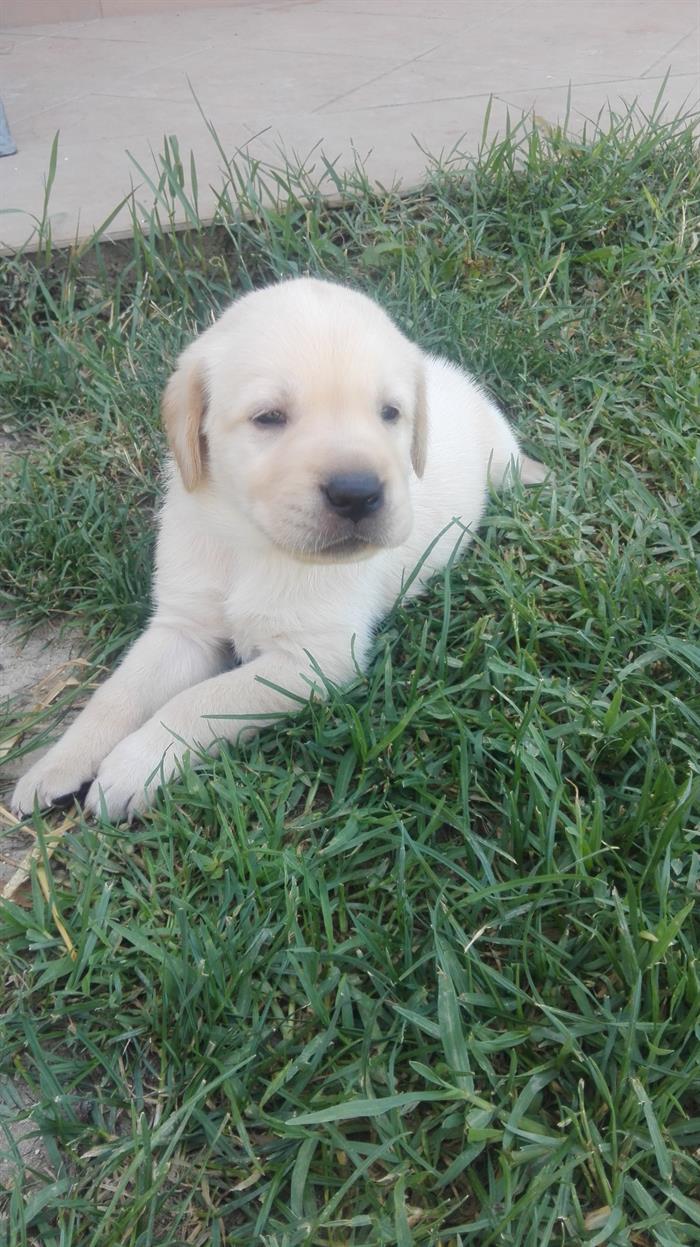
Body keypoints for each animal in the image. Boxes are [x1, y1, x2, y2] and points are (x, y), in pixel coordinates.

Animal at [12, 284, 546, 828]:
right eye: (269, 417)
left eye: (390, 413)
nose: (358, 493)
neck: (252, 544)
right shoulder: (183, 627)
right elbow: (118, 692)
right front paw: (57, 764)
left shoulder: (312, 660)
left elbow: (202, 700)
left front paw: (134, 766)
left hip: (499, 458)